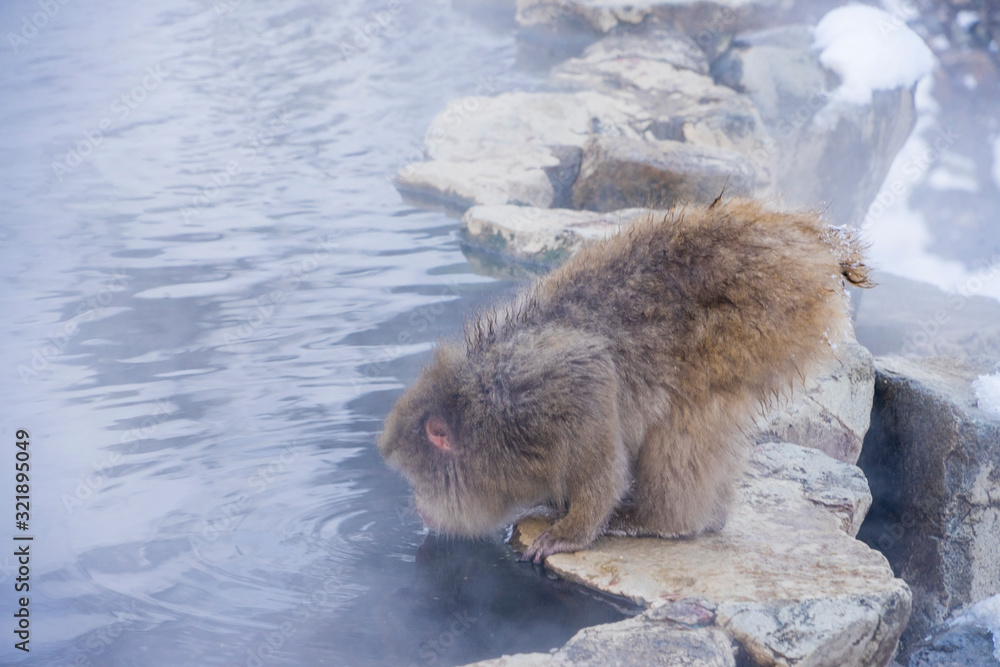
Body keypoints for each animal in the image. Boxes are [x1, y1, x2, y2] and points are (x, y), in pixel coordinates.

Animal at [377, 198, 873, 563]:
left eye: (417, 478)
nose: (417, 506)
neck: (477, 411)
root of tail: (813, 237)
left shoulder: (538, 394)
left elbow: (594, 387)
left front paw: (575, 528)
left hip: (767, 314)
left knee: (685, 422)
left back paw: (664, 521)